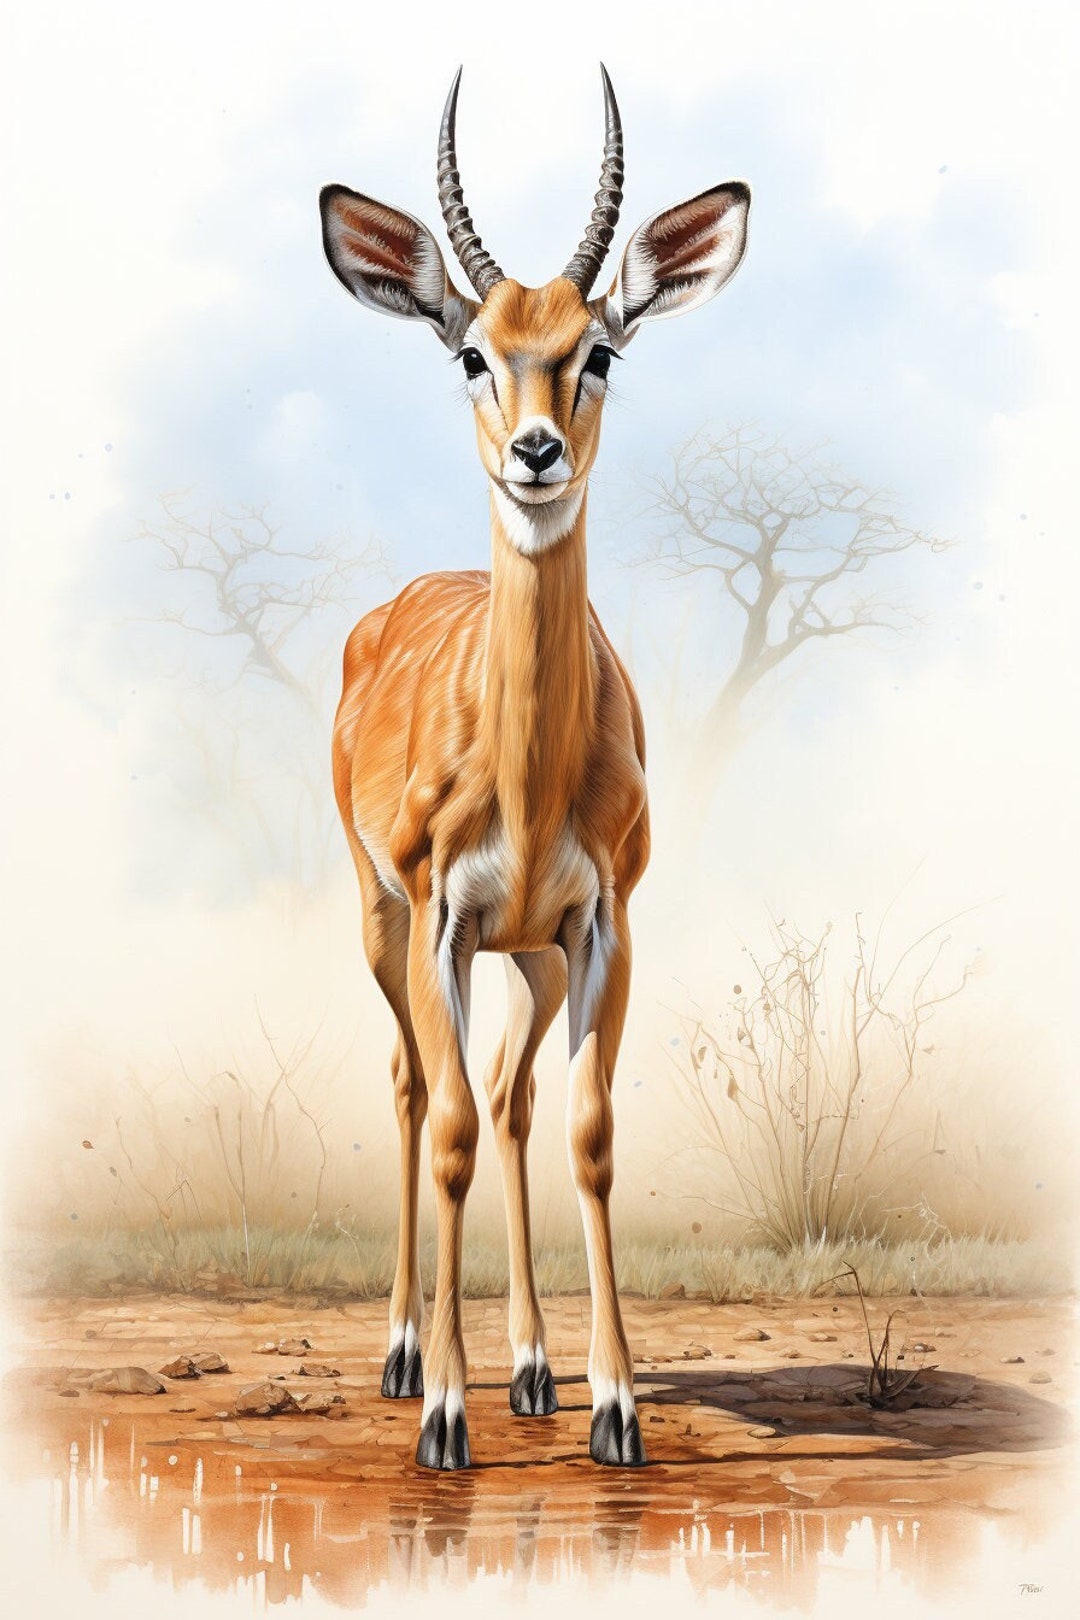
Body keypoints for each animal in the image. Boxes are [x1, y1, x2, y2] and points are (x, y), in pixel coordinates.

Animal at [320, 66, 749, 1470]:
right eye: (472, 350)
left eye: (596, 347)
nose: (536, 451)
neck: (525, 770)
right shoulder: (442, 919)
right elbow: (450, 1126)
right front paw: (443, 1419)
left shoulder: (602, 922)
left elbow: (588, 1134)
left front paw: (614, 1407)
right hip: (387, 922)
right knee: (418, 1087)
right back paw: (410, 1359)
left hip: (535, 956)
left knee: (509, 1098)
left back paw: (532, 1372)